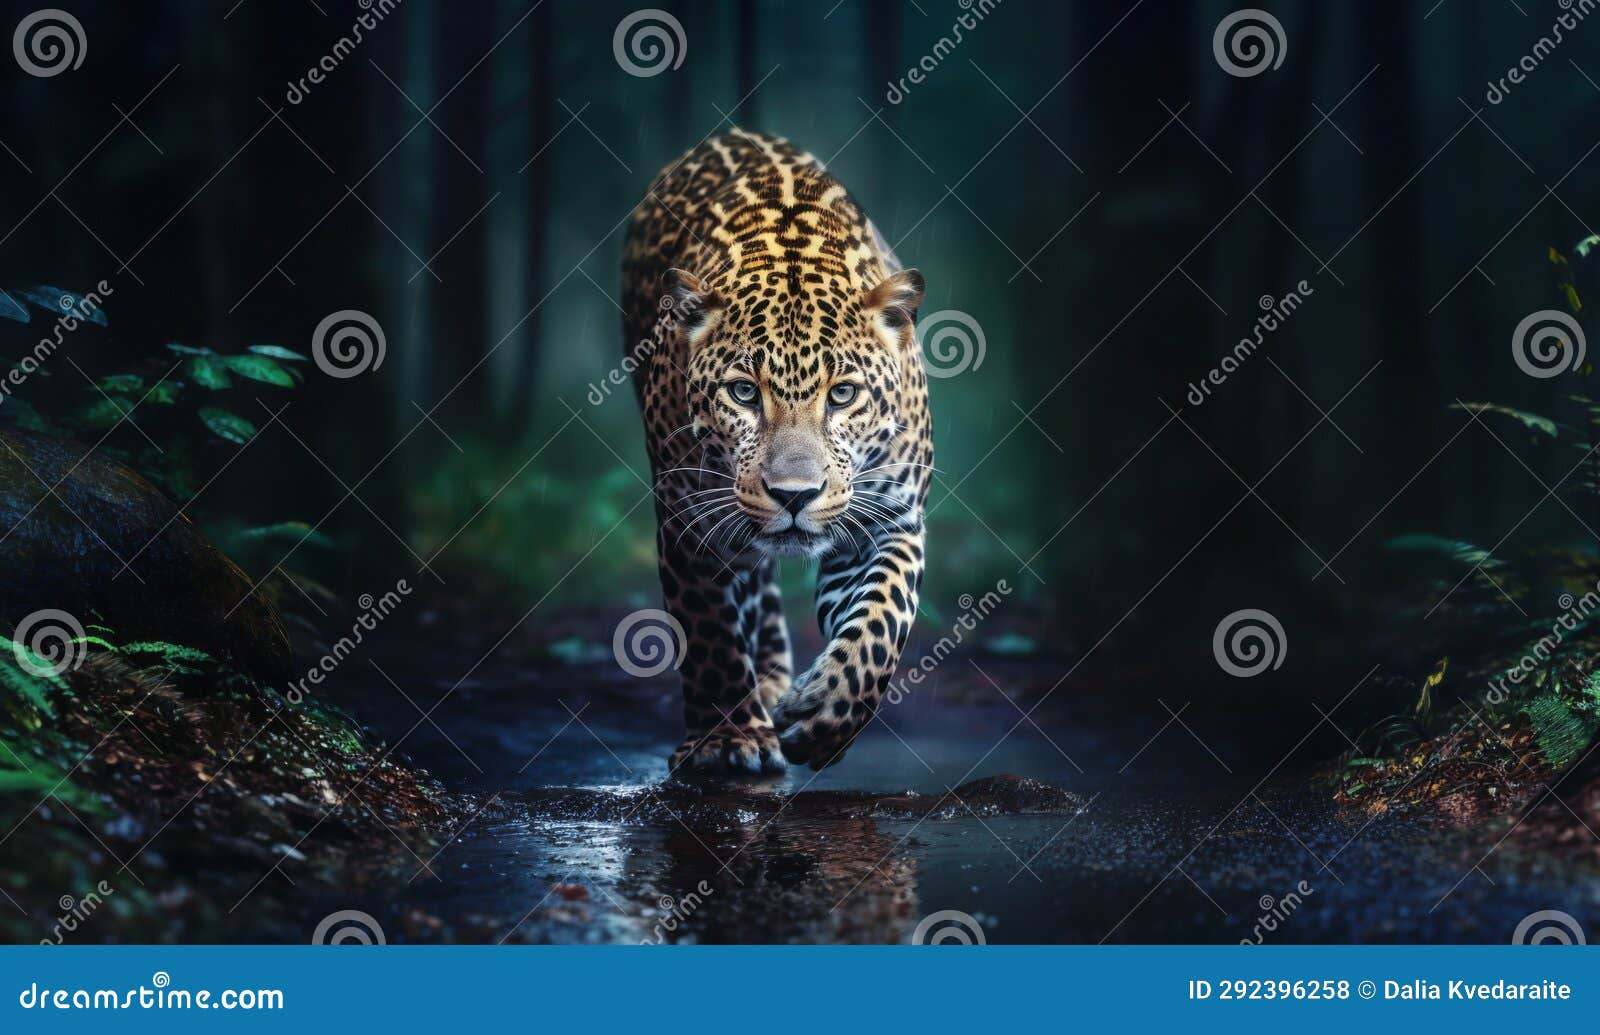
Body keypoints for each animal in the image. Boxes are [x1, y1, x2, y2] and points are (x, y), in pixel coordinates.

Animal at [621, 128, 932, 775]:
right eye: (743, 393)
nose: (795, 496)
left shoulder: (892, 520)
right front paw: (727, 738)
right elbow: (709, 632)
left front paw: (827, 713)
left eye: (843, 394)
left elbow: (881, 622)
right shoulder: (687, 523)